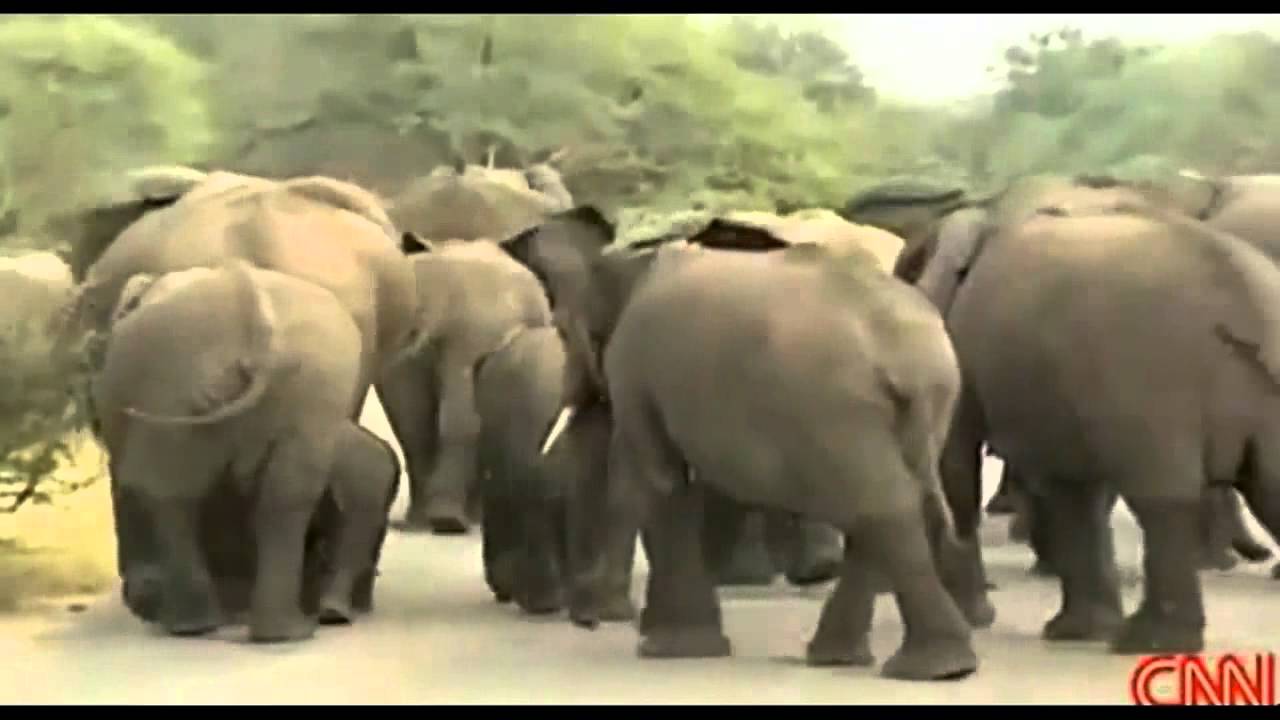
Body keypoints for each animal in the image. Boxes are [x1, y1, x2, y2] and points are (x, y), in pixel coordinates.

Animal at [95, 261, 395, 642]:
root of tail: (255, 319)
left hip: (179, 381)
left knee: (176, 496)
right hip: (311, 389)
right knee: (283, 497)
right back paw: (276, 629)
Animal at [505, 207, 985, 682]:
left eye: (563, 333)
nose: (587, 620)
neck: (634, 262)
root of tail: (905, 357)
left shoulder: (635, 366)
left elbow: (660, 480)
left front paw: (669, 648)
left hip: (840, 408)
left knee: (880, 509)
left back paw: (929, 668)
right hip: (932, 396)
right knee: (885, 509)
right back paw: (862, 660)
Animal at [908, 197, 1280, 654]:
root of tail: (1245, 301)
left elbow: (959, 469)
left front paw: (978, 620)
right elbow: (1074, 485)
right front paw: (1076, 631)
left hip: (1153, 384)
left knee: (1163, 501)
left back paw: (1147, 642)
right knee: (1267, 489)